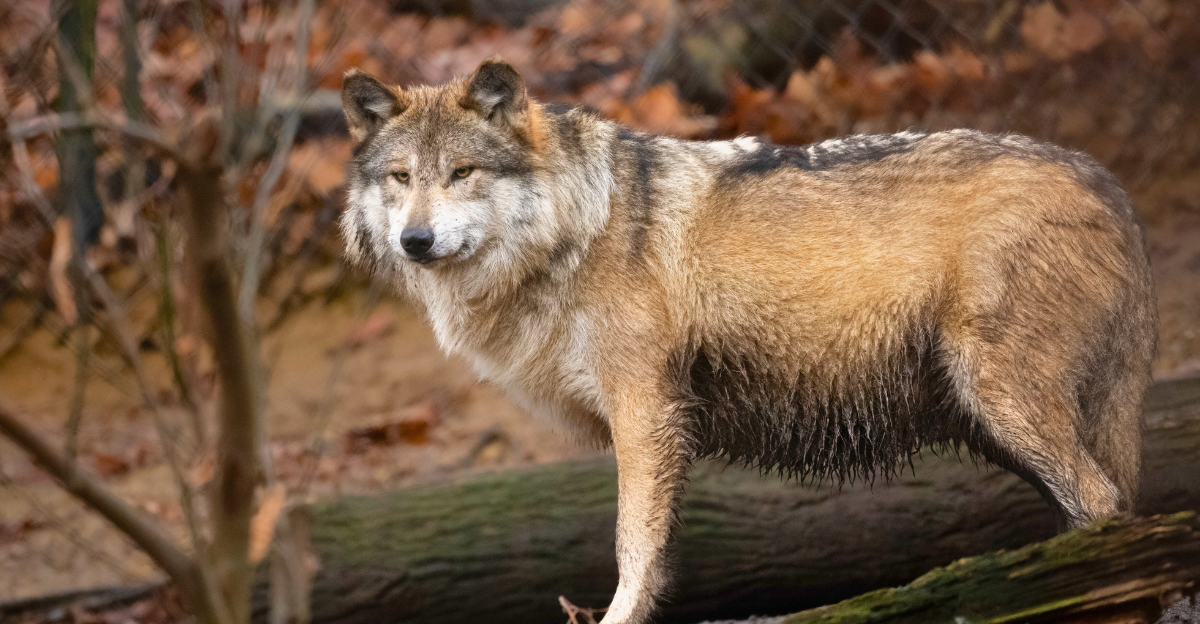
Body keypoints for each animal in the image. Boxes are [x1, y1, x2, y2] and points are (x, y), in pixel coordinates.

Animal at [339, 59, 1156, 623]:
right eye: (401, 178)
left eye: (462, 173)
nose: (415, 241)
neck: (572, 233)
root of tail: (1109, 185)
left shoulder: (646, 412)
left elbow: (632, 549)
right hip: (996, 425)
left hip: (1002, 403)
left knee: (1104, 504)